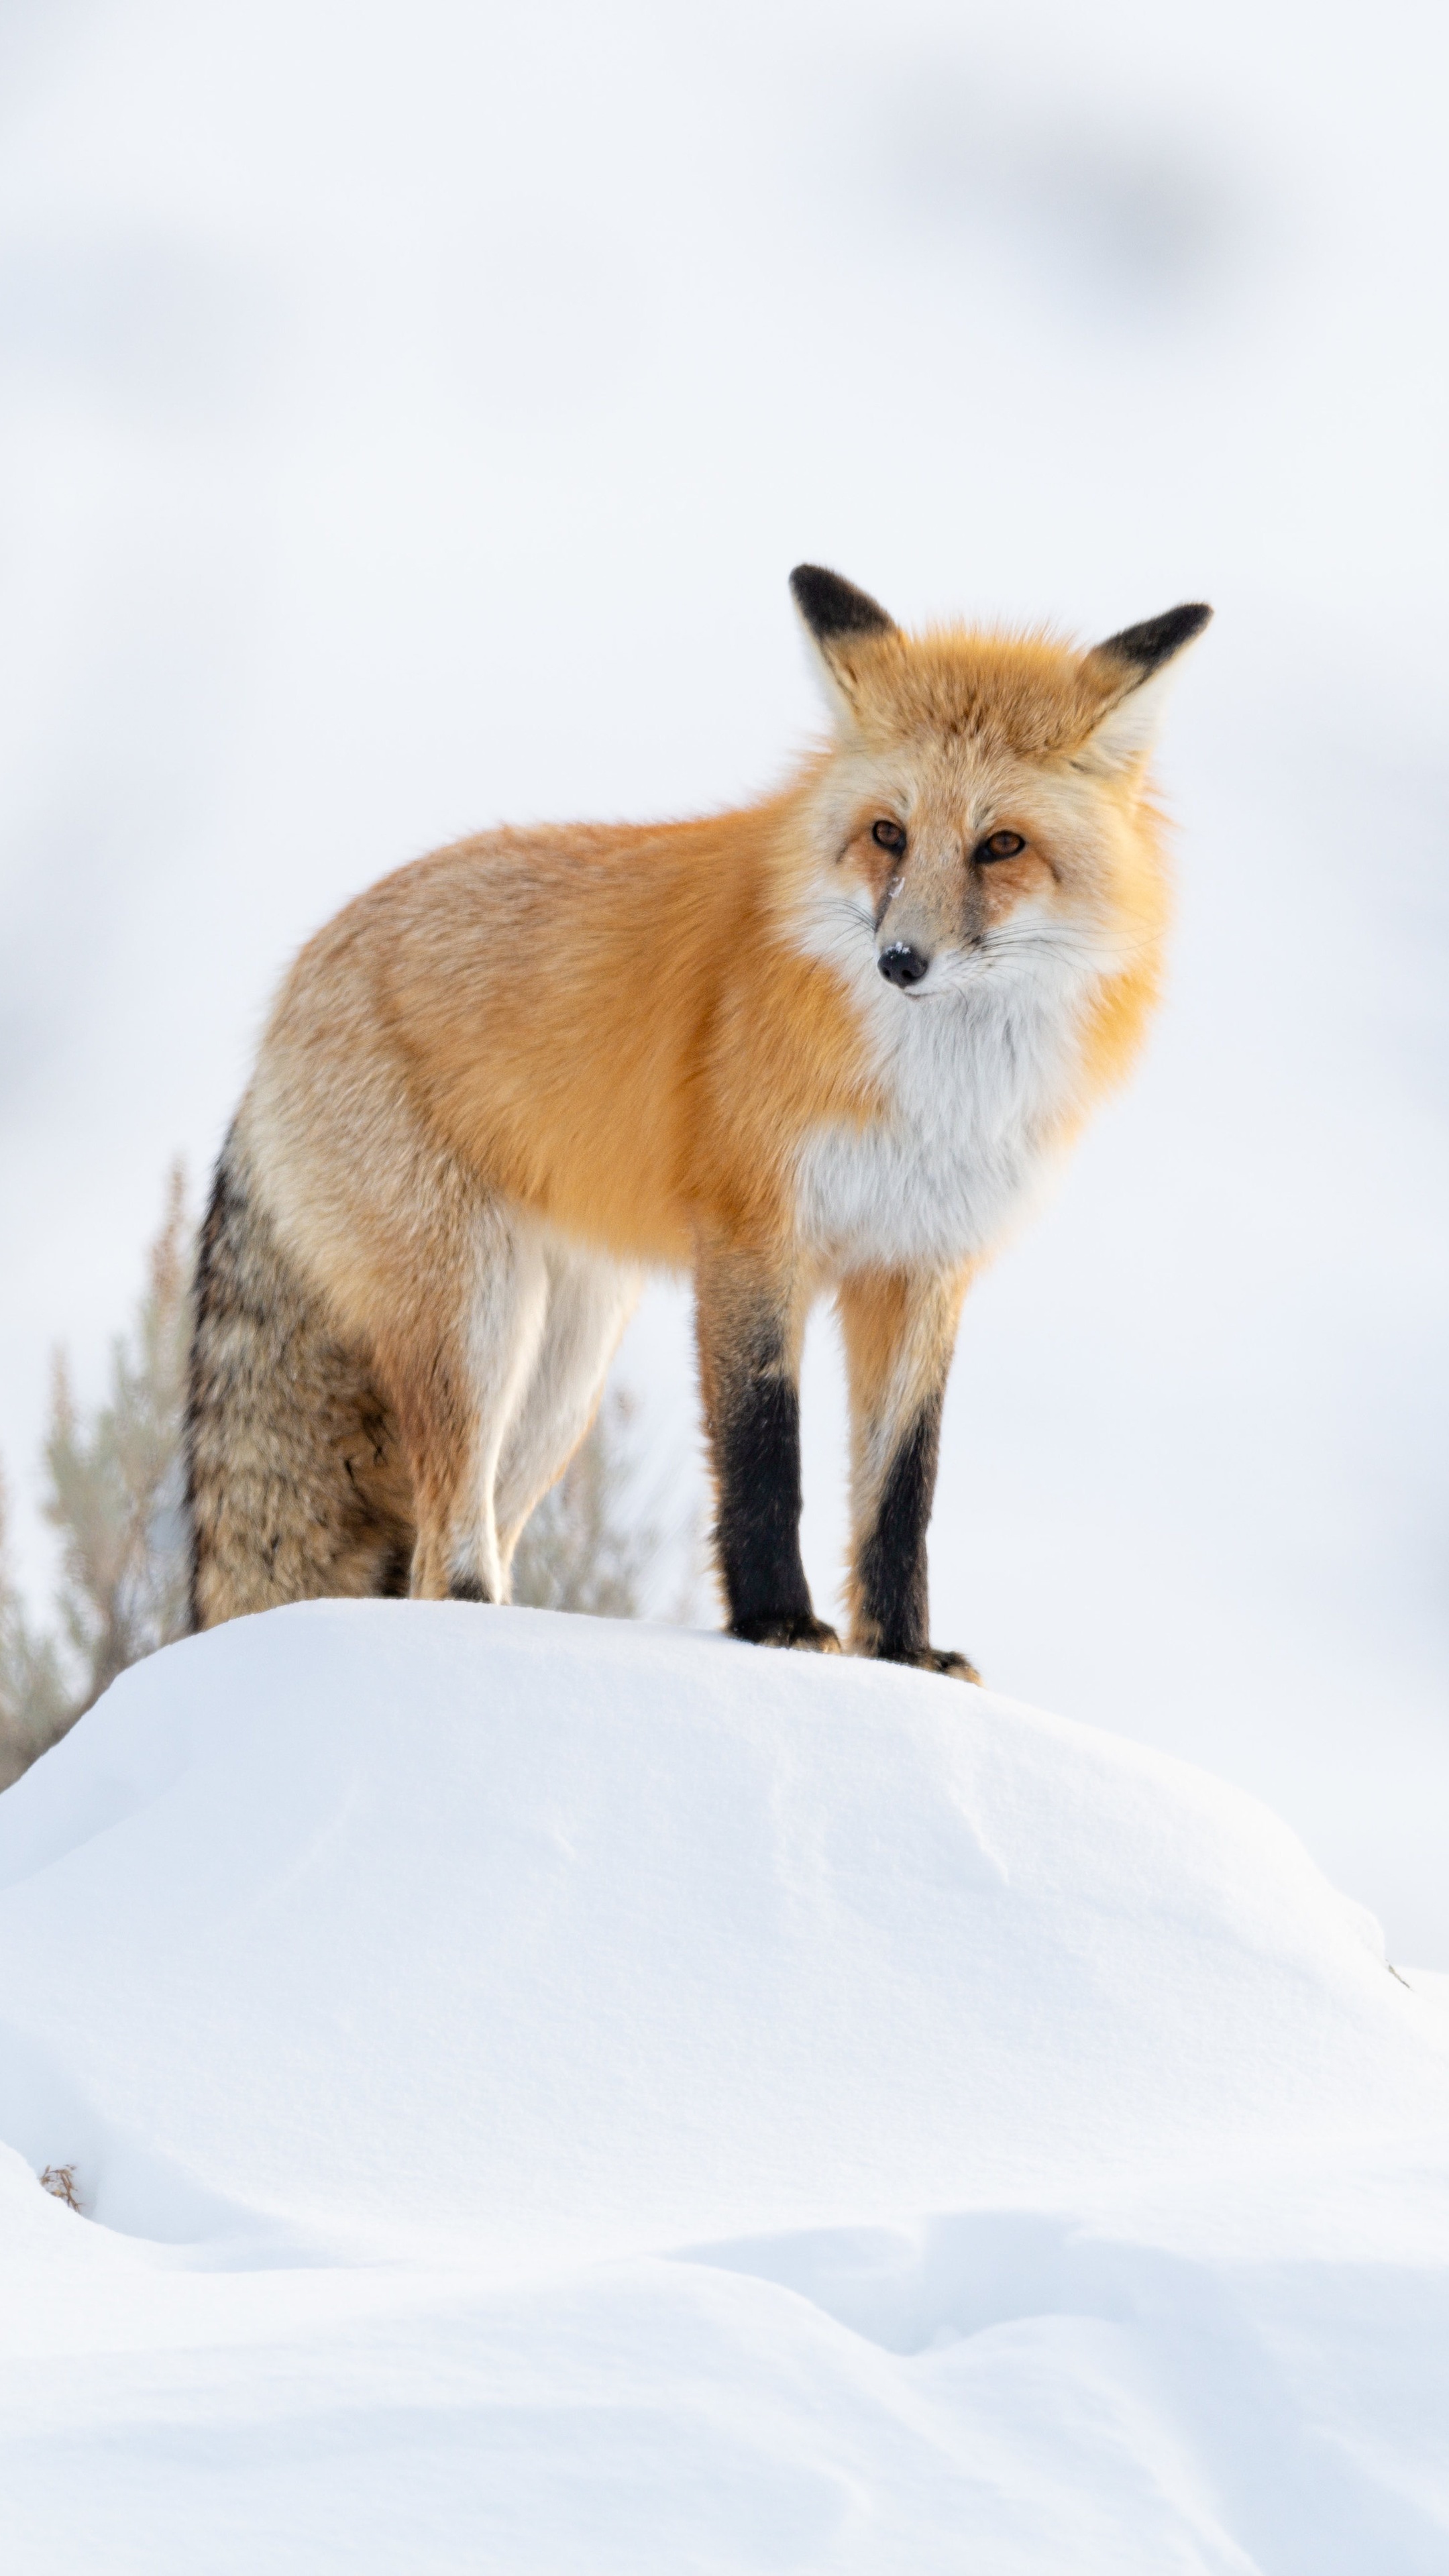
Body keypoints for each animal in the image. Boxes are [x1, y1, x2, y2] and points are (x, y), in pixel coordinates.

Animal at [186, 566, 1210, 1676]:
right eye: (889, 834)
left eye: (1002, 846)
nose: (901, 961)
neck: (940, 1093)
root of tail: (291, 984)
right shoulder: (753, 1234)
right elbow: (765, 1455)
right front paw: (778, 1625)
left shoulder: (921, 1266)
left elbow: (902, 1494)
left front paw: (902, 1653)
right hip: (480, 1320)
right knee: (445, 1538)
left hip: (565, 1371)